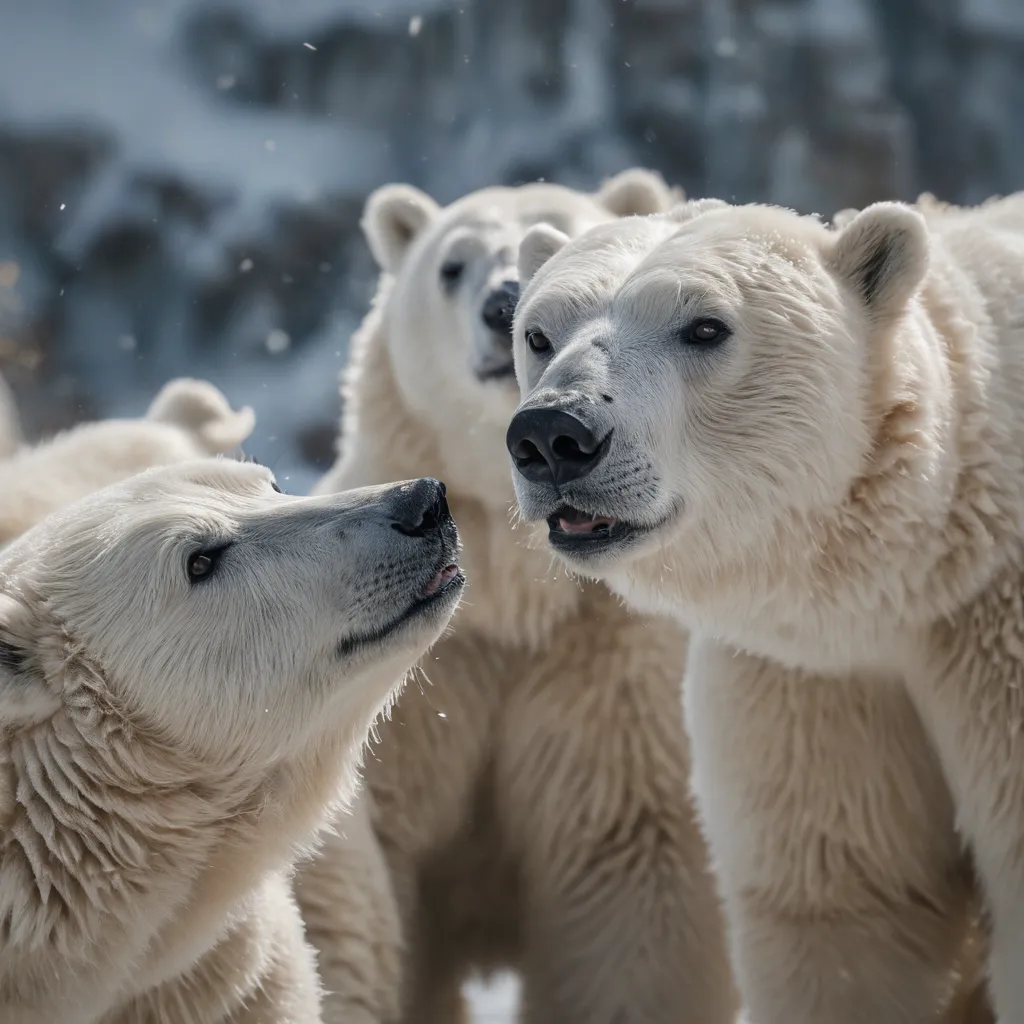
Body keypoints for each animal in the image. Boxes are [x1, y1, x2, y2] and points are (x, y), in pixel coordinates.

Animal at [295, 170, 738, 1024]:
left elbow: (630, 881)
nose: (503, 304)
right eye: (451, 265)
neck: (510, 595)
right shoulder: (425, 679)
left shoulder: (605, 668)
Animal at [503, 194, 1024, 1023]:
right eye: (538, 332)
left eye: (705, 327)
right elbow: (839, 904)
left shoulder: (991, 639)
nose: (554, 435)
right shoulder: (807, 679)